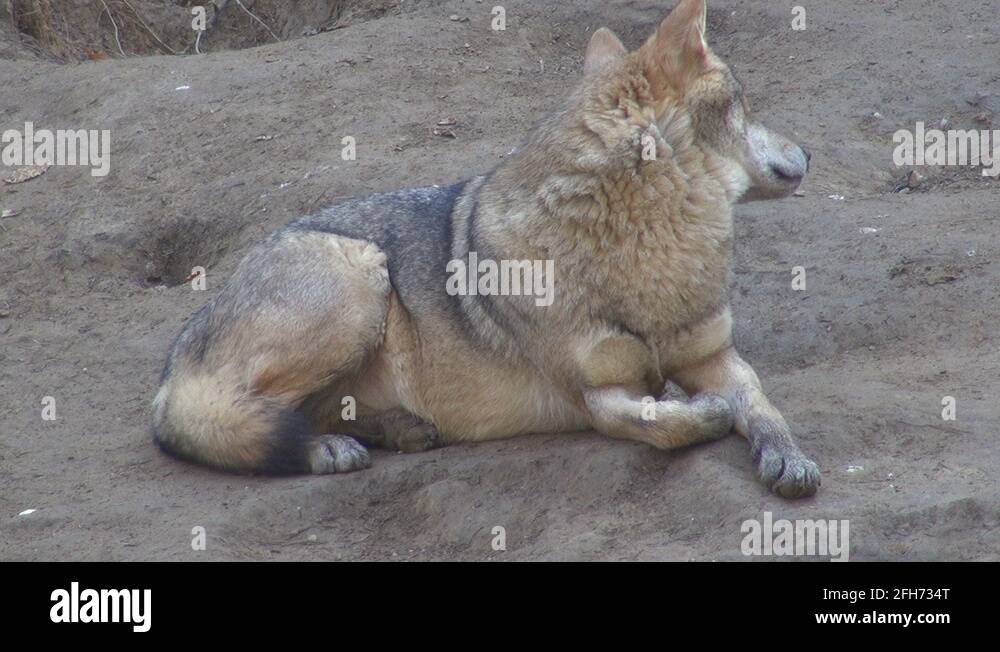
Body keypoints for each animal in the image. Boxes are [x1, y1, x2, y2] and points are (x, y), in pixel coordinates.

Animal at [153, 0, 820, 498]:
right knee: (238, 422)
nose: (811, 153)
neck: (648, 251)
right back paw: (327, 450)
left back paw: (395, 431)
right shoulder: (595, 395)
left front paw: (787, 456)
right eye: (746, 105)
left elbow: (761, 401)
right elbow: (661, 422)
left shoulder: (713, 354)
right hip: (359, 279)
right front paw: (705, 415)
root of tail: (170, 369)